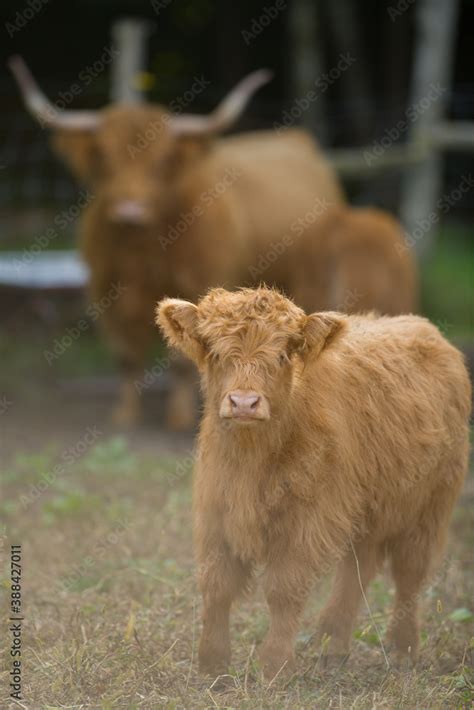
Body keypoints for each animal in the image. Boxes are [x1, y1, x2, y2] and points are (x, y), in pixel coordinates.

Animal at [9, 56, 345, 428]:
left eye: (162, 162)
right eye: (104, 158)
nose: (129, 212)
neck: (140, 254)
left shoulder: (198, 286)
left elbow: (182, 360)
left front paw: (179, 416)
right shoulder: (107, 291)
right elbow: (127, 354)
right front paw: (125, 414)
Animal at [156, 286, 470, 680]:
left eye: (282, 355)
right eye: (214, 352)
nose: (244, 403)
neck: (252, 459)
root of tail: (424, 328)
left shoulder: (308, 520)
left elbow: (283, 590)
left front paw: (275, 665)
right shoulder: (216, 510)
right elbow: (216, 585)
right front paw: (212, 663)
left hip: (429, 506)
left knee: (409, 574)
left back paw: (402, 650)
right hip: (368, 508)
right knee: (358, 569)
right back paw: (332, 647)